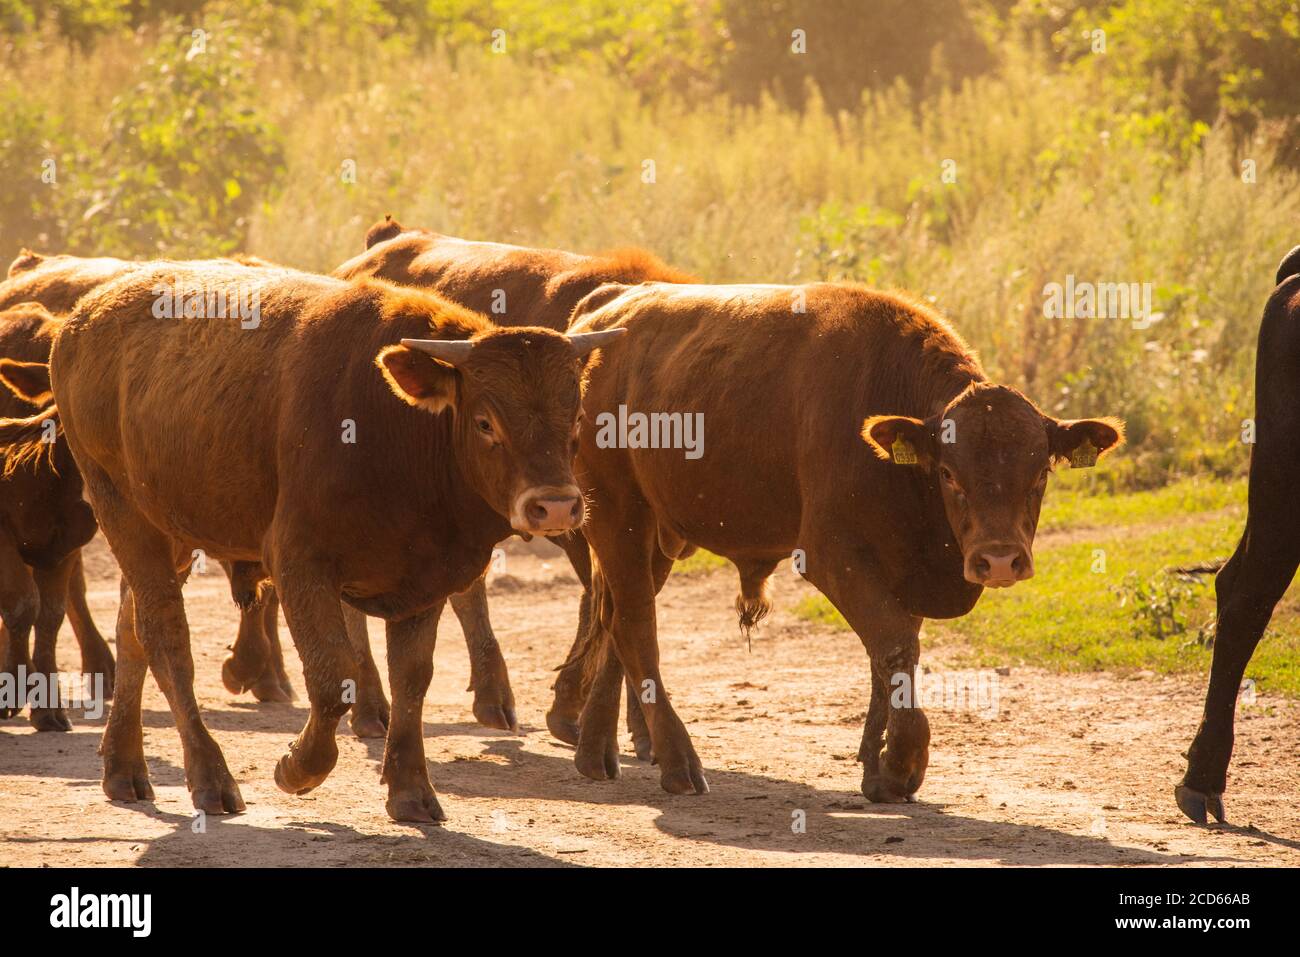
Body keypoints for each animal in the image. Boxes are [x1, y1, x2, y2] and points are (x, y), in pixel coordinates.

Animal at [0, 302, 108, 729]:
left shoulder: (62, 548)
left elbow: (50, 616)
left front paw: (47, 708)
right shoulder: (5, 540)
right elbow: (21, 605)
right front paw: (13, 691)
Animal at [556, 281, 1122, 799]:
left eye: (1040, 474)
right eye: (950, 474)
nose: (1000, 560)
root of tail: (608, 304)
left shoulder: (898, 571)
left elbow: (885, 658)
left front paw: (877, 766)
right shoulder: (831, 556)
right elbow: (895, 646)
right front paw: (902, 763)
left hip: (654, 533)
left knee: (615, 619)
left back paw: (595, 752)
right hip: (618, 514)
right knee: (636, 626)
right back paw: (677, 762)